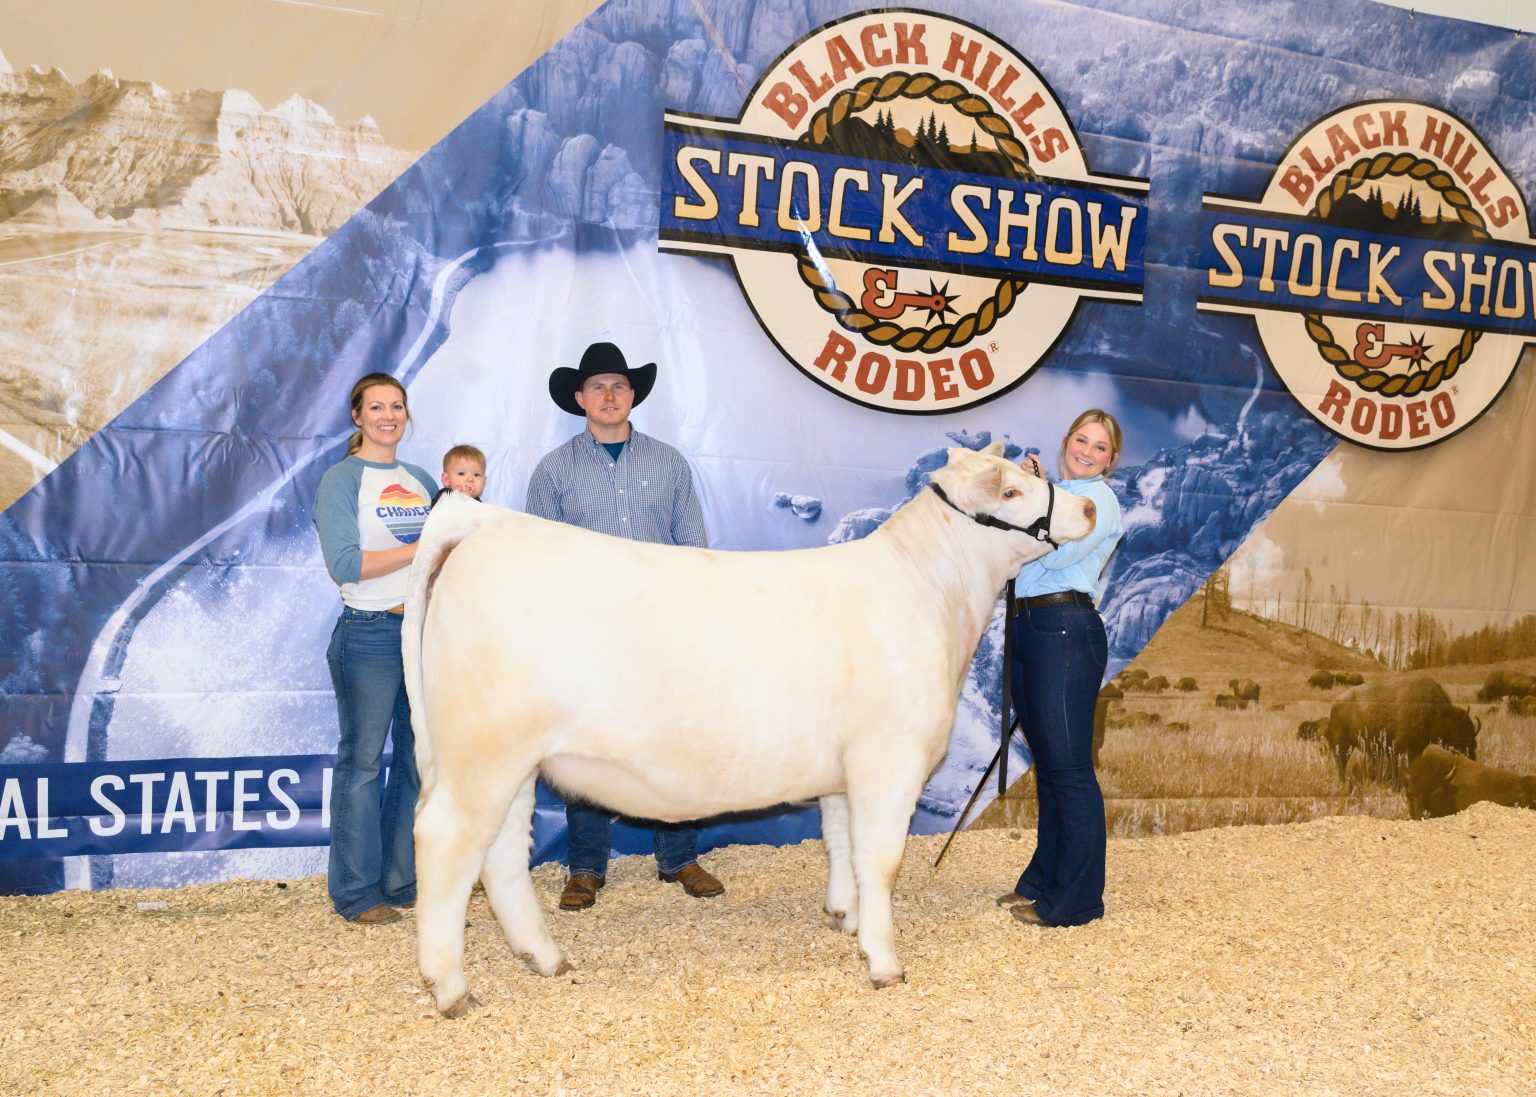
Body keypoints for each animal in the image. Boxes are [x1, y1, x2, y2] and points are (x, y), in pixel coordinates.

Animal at [402, 444, 1096, 1017]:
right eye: (1012, 491)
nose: (1089, 506)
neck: (929, 593)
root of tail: (487, 524)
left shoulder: (844, 770)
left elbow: (840, 842)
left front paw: (844, 918)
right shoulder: (889, 758)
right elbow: (881, 858)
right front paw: (884, 960)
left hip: (512, 760)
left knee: (500, 855)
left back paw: (544, 958)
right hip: (482, 752)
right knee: (446, 843)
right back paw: (450, 988)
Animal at [1323, 675, 1479, 787]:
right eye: (1462, 731)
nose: (1472, 758)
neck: (1433, 712)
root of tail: (1335, 704)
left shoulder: (1416, 750)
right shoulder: (1399, 748)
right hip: (1342, 745)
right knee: (1341, 763)